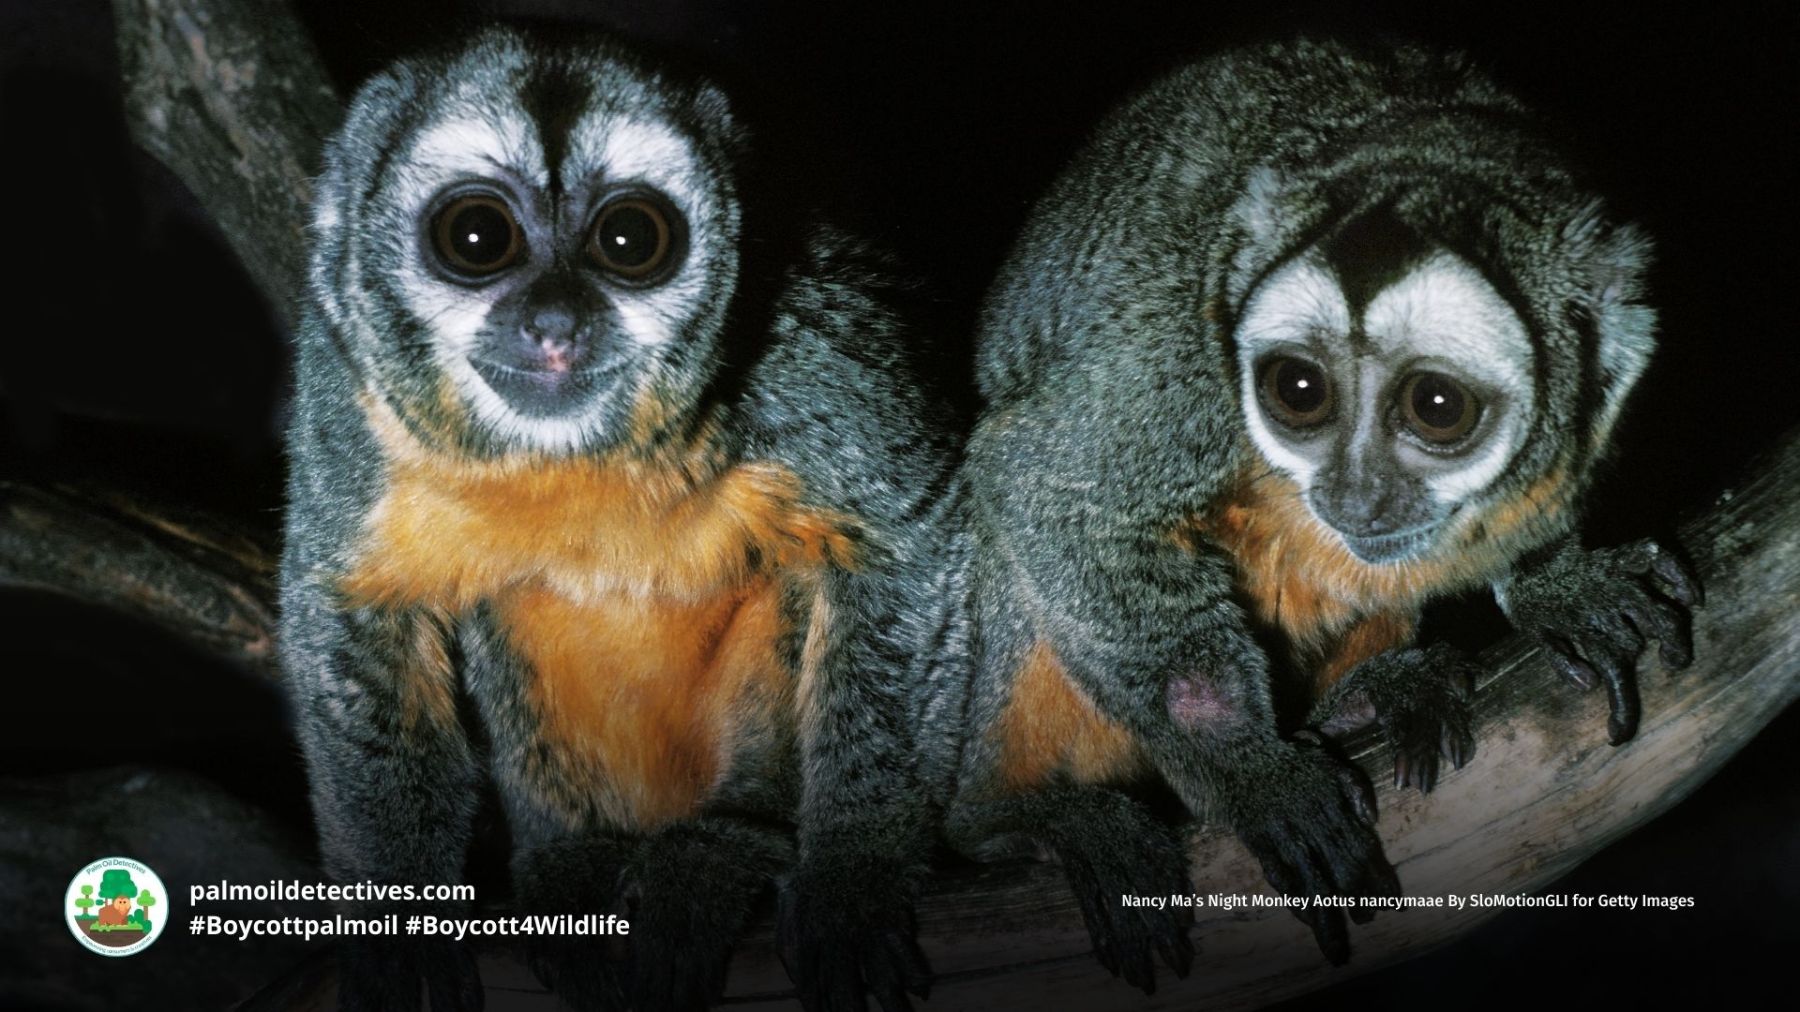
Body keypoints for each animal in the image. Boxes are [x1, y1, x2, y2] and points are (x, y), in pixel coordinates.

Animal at [278, 26, 956, 1012]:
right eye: (476, 236)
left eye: (631, 238)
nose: (555, 323)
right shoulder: (346, 391)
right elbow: (350, 606)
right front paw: (398, 930)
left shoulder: (813, 347)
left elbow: (903, 541)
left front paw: (850, 884)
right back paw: (573, 864)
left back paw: (723, 847)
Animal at [942, 37, 1701, 994]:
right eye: (1299, 389)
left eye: (1437, 406)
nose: (1355, 494)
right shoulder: (1178, 359)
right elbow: (1040, 487)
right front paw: (1257, 779)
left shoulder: (1623, 313)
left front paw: (1560, 588)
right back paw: (1019, 822)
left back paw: (1363, 700)